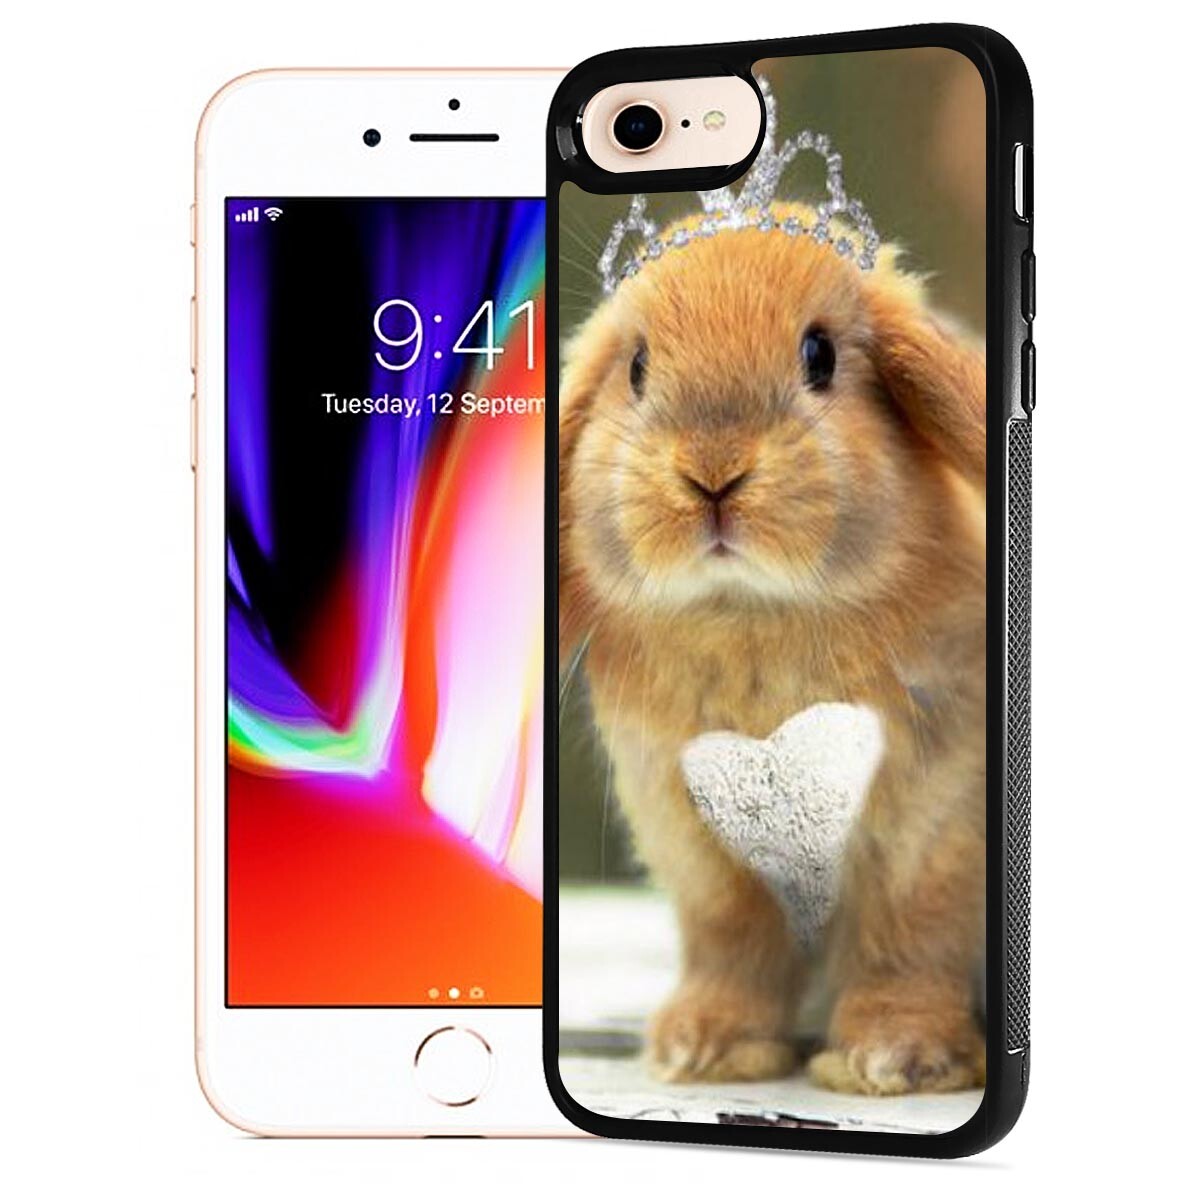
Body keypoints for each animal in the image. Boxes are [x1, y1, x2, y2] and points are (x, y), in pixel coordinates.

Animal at [559, 200, 987, 1096]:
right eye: (637, 367)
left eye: (820, 355)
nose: (713, 473)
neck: (752, 615)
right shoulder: (696, 840)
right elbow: (732, 942)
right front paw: (704, 1049)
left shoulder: (933, 820)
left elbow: (911, 935)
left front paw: (893, 1061)